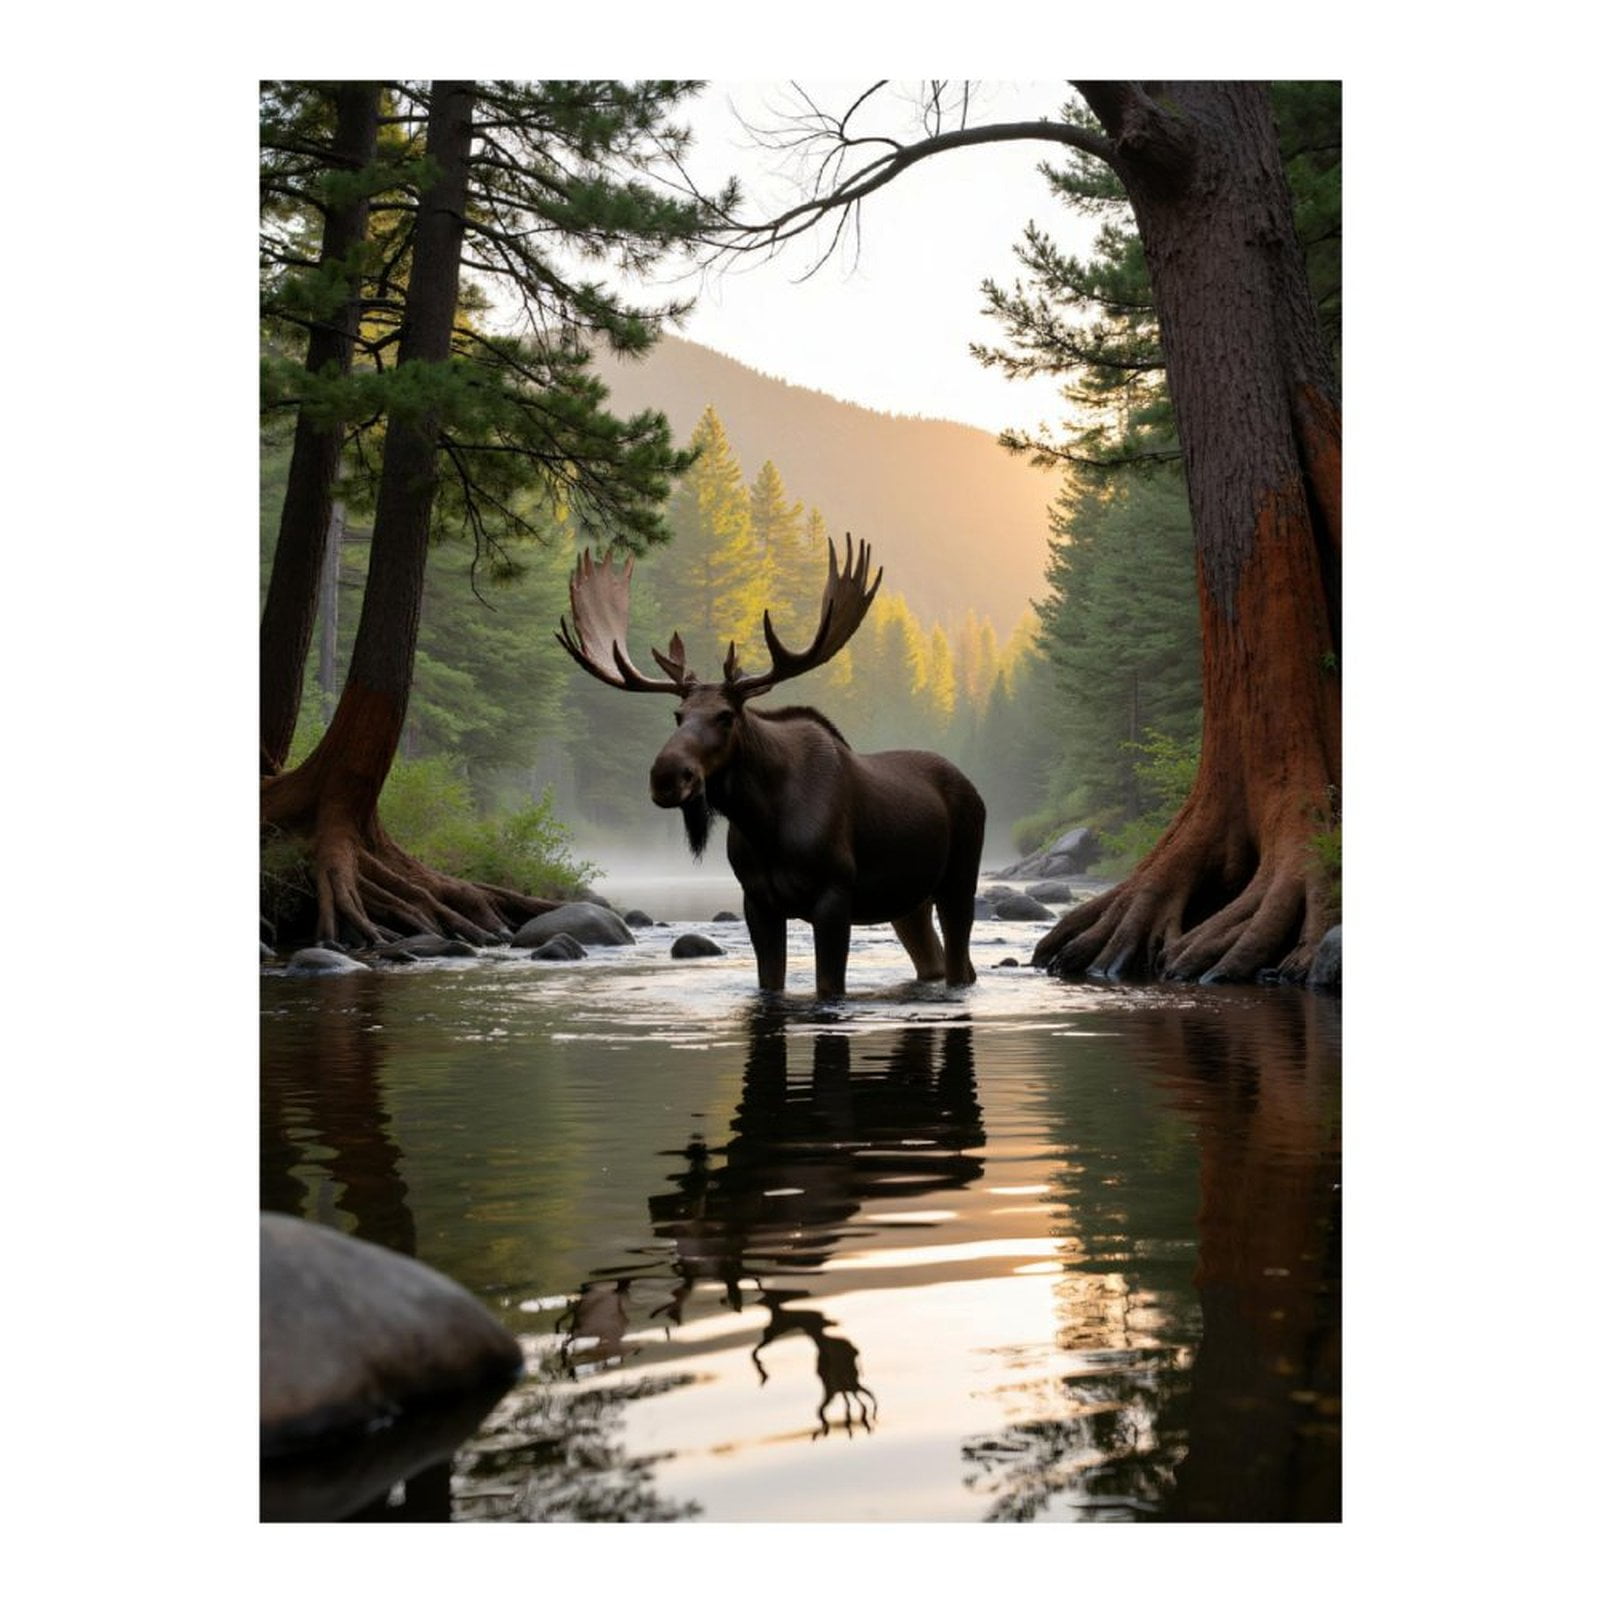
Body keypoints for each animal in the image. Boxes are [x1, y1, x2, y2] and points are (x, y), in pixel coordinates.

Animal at [557, 536, 987, 999]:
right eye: (678, 714)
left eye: (726, 716)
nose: (668, 776)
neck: (764, 822)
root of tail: (975, 790)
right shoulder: (757, 901)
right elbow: (769, 981)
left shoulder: (835, 895)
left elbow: (828, 986)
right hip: (908, 901)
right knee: (936, 962)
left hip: (959, 880)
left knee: (960, 964)